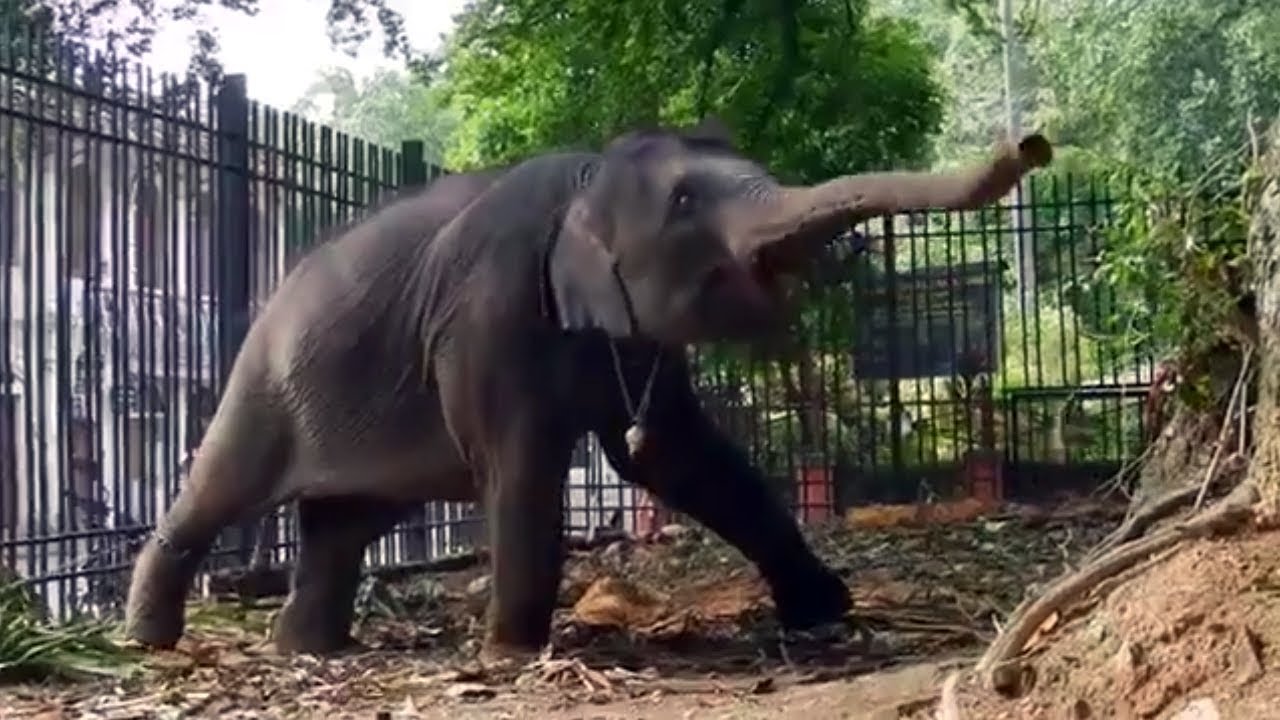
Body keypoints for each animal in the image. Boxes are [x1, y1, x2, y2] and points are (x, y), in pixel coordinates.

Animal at [123, 118, 1052, 662]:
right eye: (685, 201)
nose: (1034, 145)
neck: (587, 177)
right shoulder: (489, 314)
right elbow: (523, 467)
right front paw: (509, 657)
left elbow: (676, 456)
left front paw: (826, 609)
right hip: (261, 382)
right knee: (220, 492)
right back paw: (150, 639)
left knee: (343, 524)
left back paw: (306, 653)